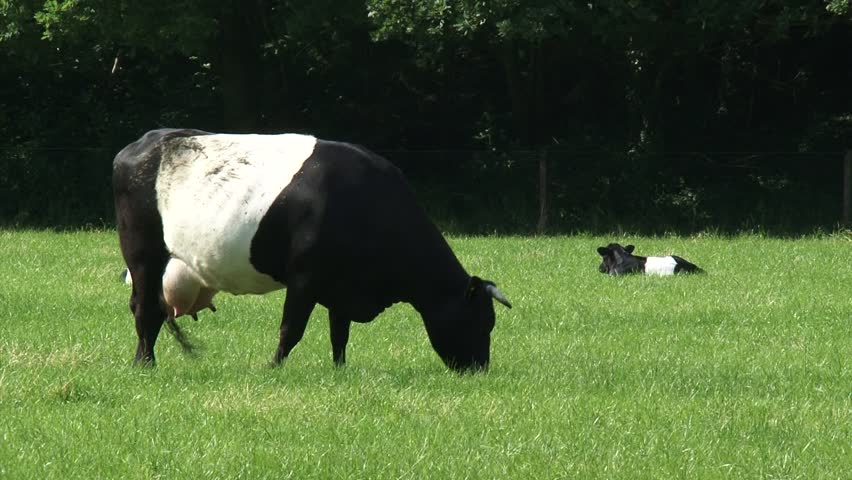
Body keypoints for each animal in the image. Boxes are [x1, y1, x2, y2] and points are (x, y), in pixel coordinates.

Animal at [113, 128, 511, 371]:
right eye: (481, 320)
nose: (479, 368)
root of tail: (145, 141)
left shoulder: (343, 286)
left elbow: (340, 333)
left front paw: (340, 369)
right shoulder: (304, 278)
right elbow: (291, 329)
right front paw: (273, 367)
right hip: (144, 255)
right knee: (145, 309)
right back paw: (144, 363)